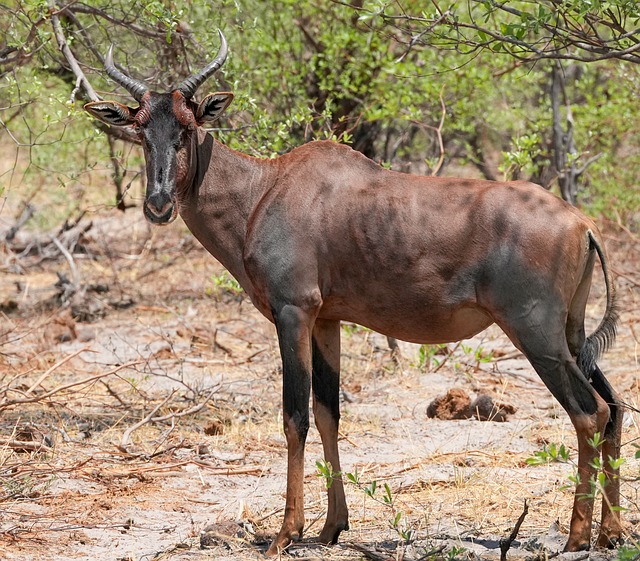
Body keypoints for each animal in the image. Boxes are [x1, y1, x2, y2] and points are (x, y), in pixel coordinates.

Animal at [84, 31, 623, 555]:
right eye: (141, 130)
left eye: (187, 127)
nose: (158, 205)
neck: (266, 188)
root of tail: (581, 223)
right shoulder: (327, 320)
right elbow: (328, 414)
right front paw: (331, 528)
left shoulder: (294, 312)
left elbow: (295, 416)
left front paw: (285, 534)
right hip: (571, 334)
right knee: (614, 407)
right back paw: (610, 533)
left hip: (534, 333)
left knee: (588, 411)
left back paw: (576, 537)